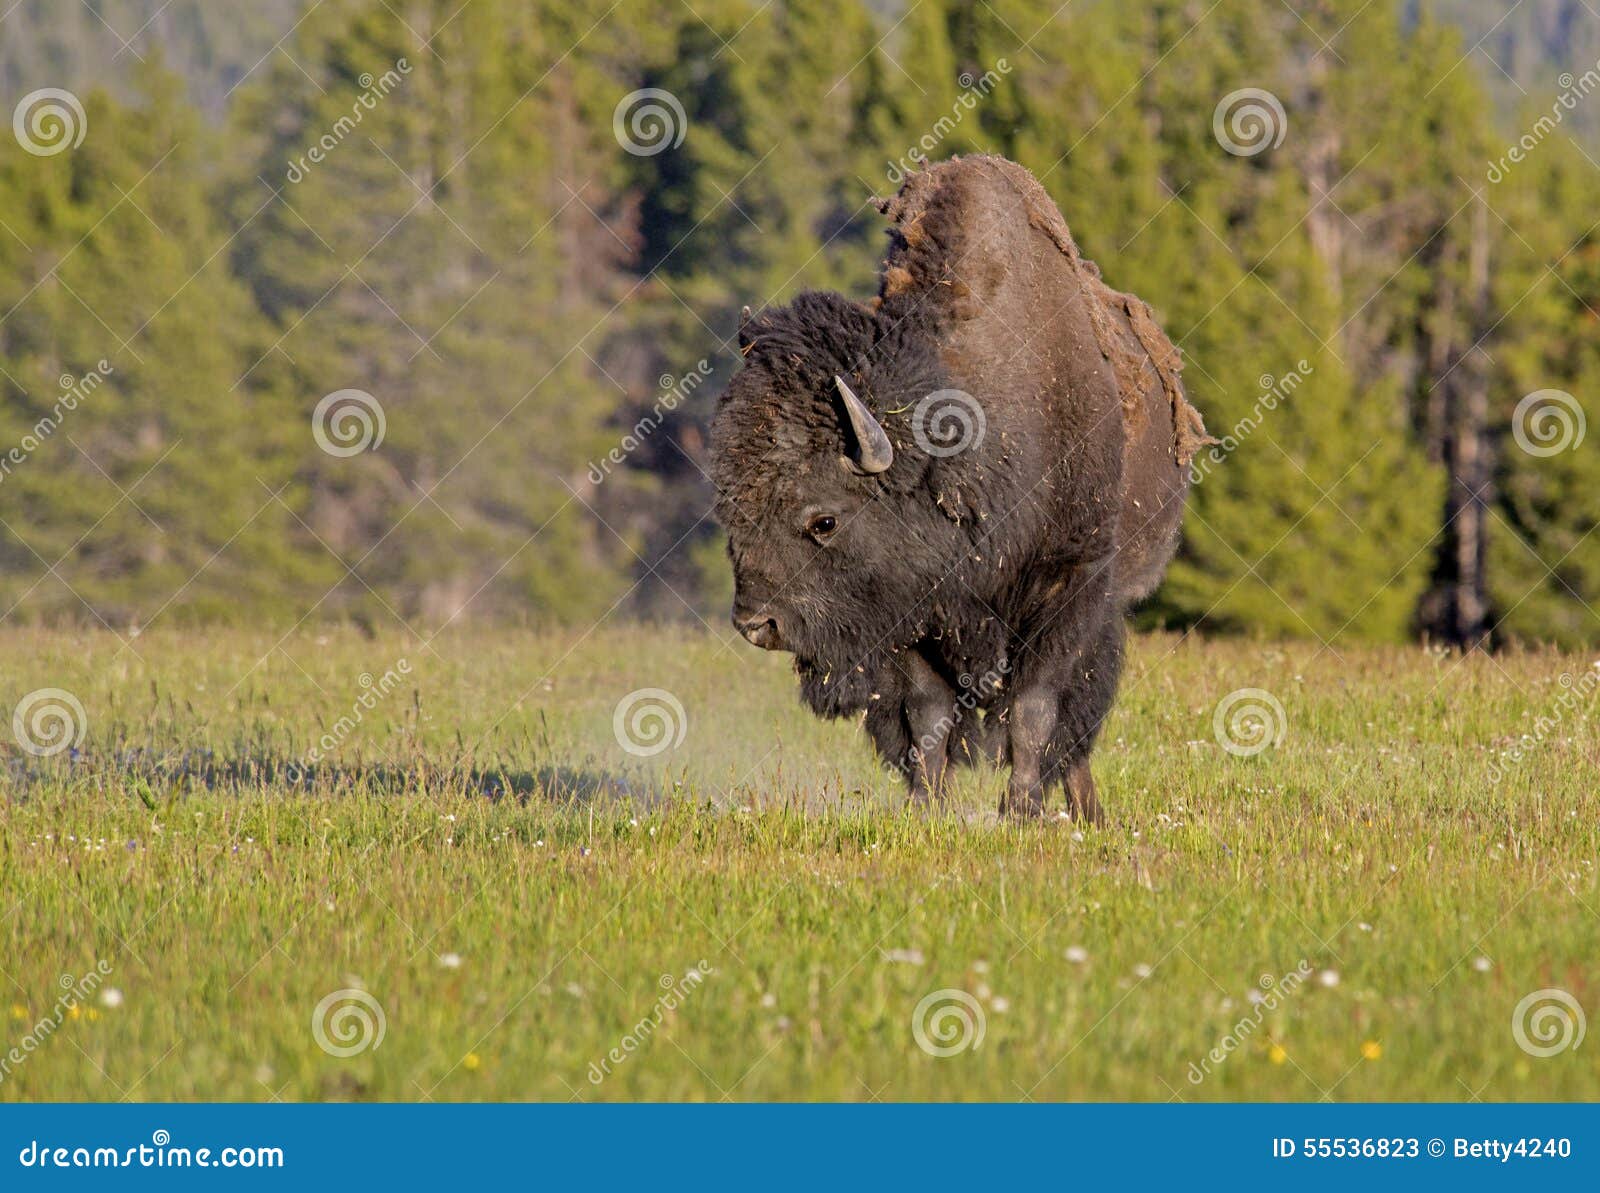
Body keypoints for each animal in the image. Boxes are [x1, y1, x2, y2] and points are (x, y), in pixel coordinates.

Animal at [710, 155, 1211, 820]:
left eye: (824, 520)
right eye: (731, 510)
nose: (755, 624)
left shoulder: (1068, 583)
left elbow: (1034, 707)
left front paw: (1019, 810)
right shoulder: (909, 611)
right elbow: (928, 717)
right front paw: (930, 808)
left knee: (1076, 722)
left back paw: (1085, 814)